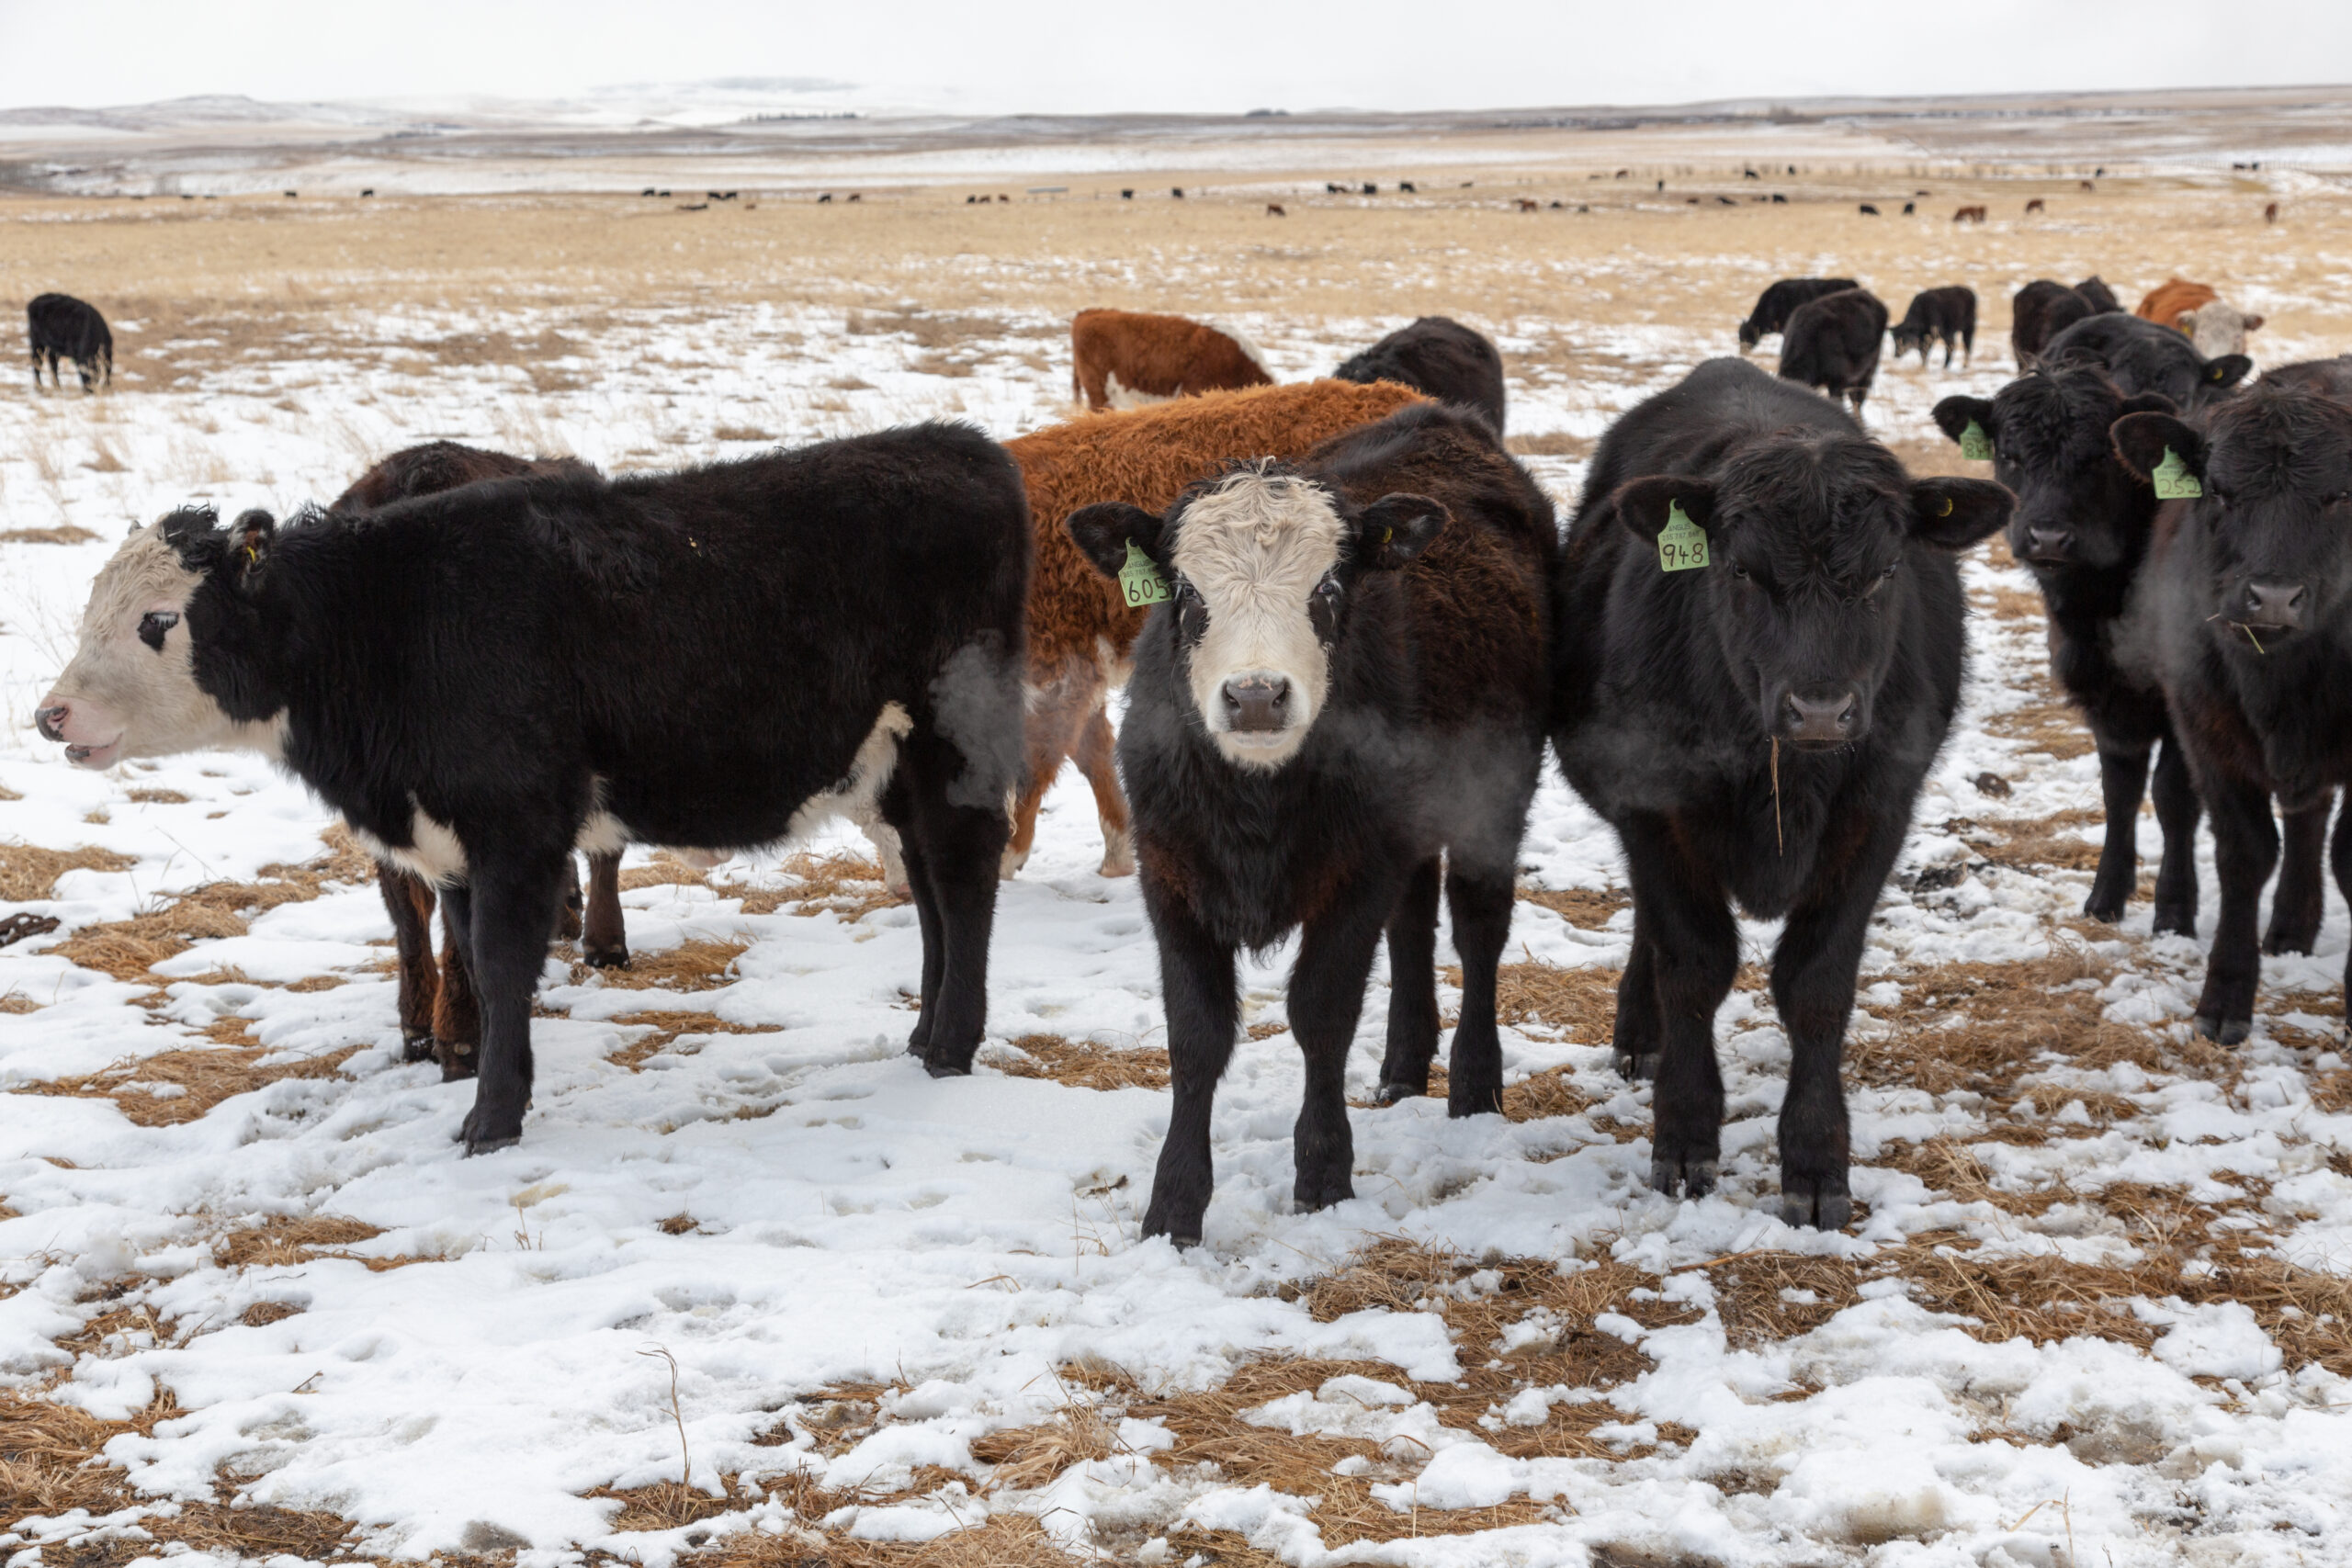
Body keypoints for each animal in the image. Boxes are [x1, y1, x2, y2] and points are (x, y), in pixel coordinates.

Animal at [37, 425, 1031, 1152]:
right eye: (91, 609)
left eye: (158, 620)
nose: (50, 715)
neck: (389, 621)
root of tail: (963, 447)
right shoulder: (453, 843)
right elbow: (470, 960)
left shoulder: (516, 829)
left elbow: (506, 962)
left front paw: (491, 1118)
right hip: (896, 767)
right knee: (930, 887)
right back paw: (922, 1033)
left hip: (956, 745)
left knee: (963, 878)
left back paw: (951, 1046)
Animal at [1062, 403, 1554, 1245]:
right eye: (1186, 590)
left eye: (1327, 587)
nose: (1256, 696)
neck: (1257, 803)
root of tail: (1445, 419)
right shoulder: (1170, 872)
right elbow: (1196, 1035)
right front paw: (1174, 1204)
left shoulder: (1356, 872)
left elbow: (1321, 1013)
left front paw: (1324, 1173)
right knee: (1415, 924)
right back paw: (1402, 1065)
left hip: (1496, 794)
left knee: (1478, 931)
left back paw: (1472, 1084)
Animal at [1550, 356, 2012, 1227]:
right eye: (1739, 569)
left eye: (1887, 570)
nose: (1822, 709)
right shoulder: (1656, 808)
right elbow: (1692, 963)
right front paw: (1685, 1134)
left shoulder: (1878, 812)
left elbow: (1817, 986)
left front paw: (1817, 1159)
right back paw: (1640, 1033)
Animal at [2114, 389, 2352, 1043]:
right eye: (2219, 490)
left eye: (2340, 494)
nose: (2272, 598)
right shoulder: (2208, 733)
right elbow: (2245, 853)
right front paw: (2224, 998)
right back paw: (2290, 929)